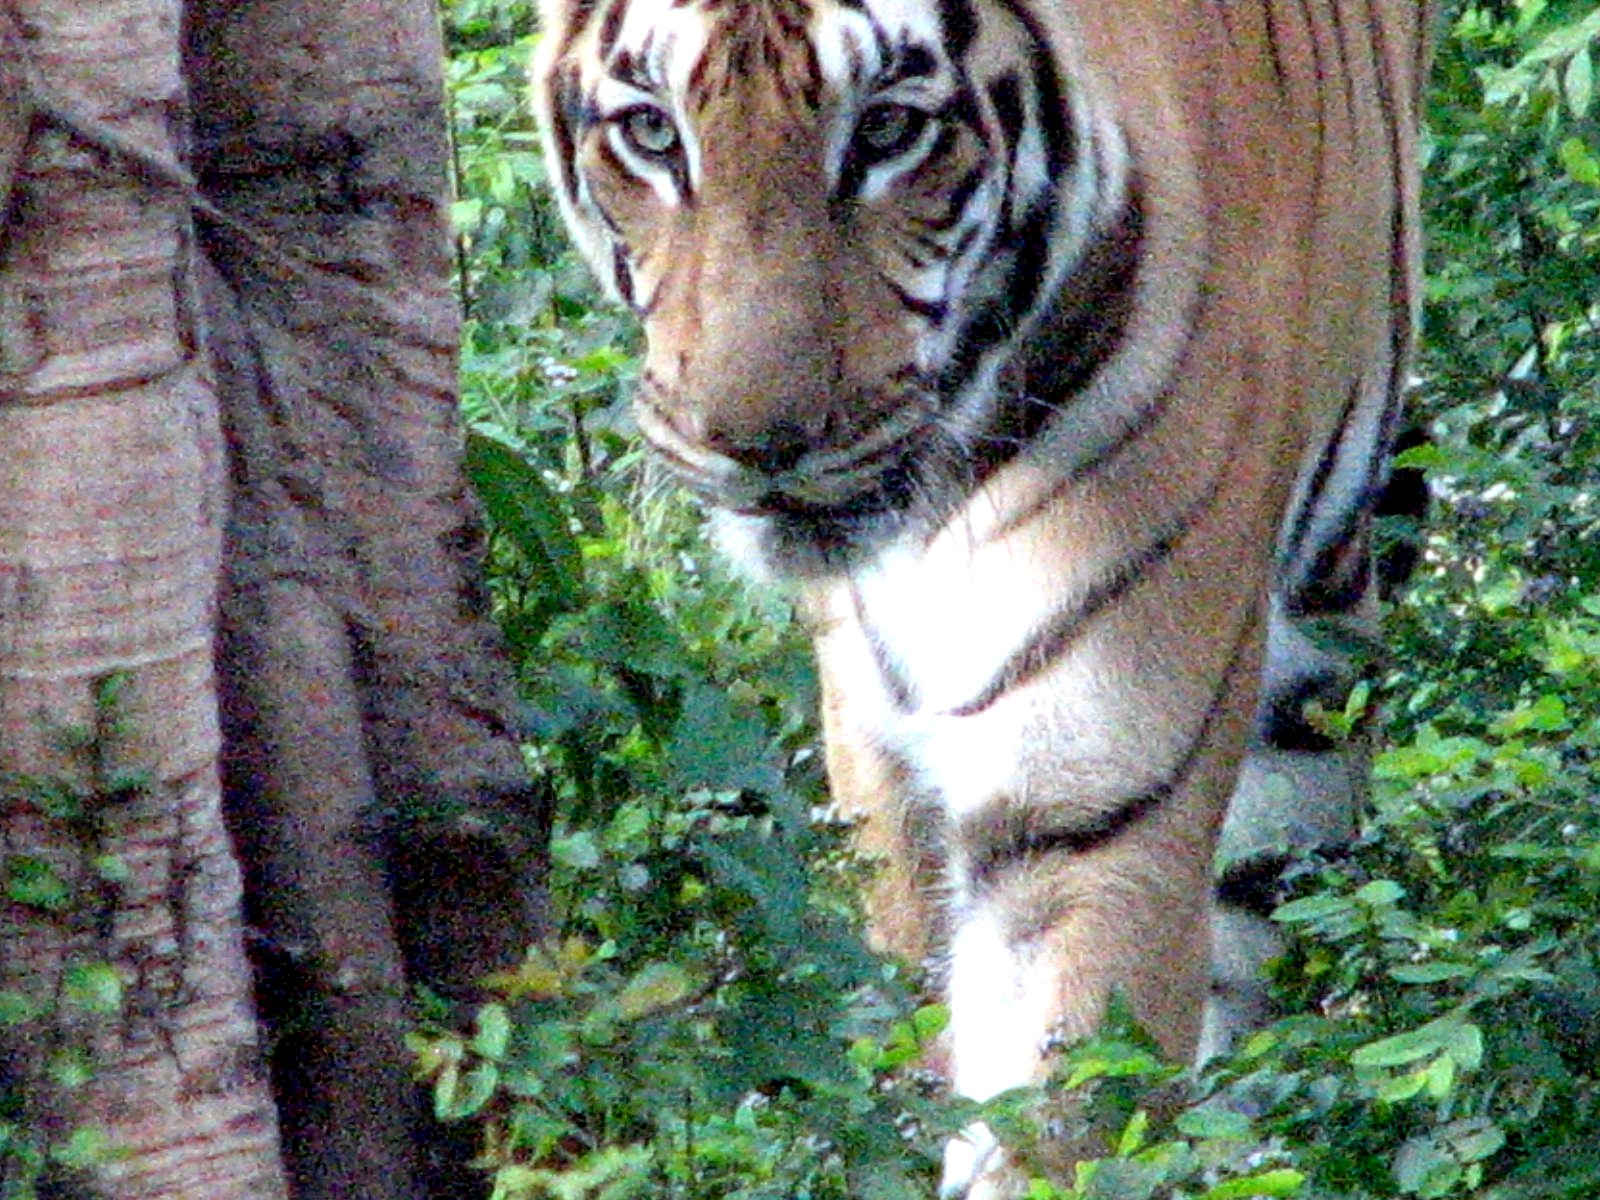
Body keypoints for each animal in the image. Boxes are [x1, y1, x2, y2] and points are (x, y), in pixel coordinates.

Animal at [533, 0, 1432, 1194]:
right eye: (650, 132)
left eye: (889, 129)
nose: (758, 446)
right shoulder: (876, 762)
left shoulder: (1093, 782)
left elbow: (1057, 1099)